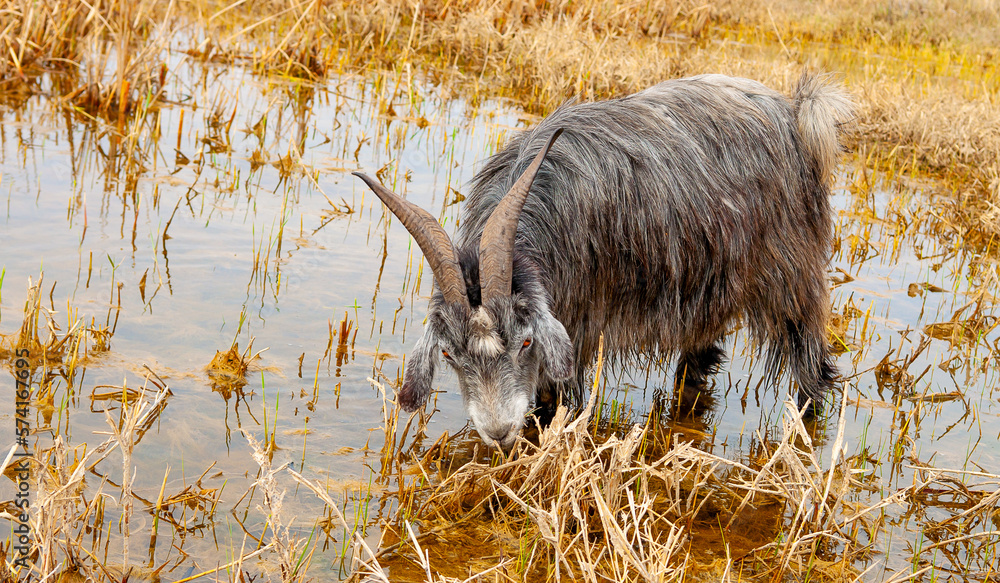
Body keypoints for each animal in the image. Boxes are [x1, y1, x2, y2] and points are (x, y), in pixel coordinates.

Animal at [355, 73, 852, 451]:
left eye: (525, 341)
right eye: (448, 354)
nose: (498, 432)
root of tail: (795, 112)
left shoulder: (578, 323)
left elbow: (554, 404)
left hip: (789, 273)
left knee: (811, 365)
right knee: (699, 357)